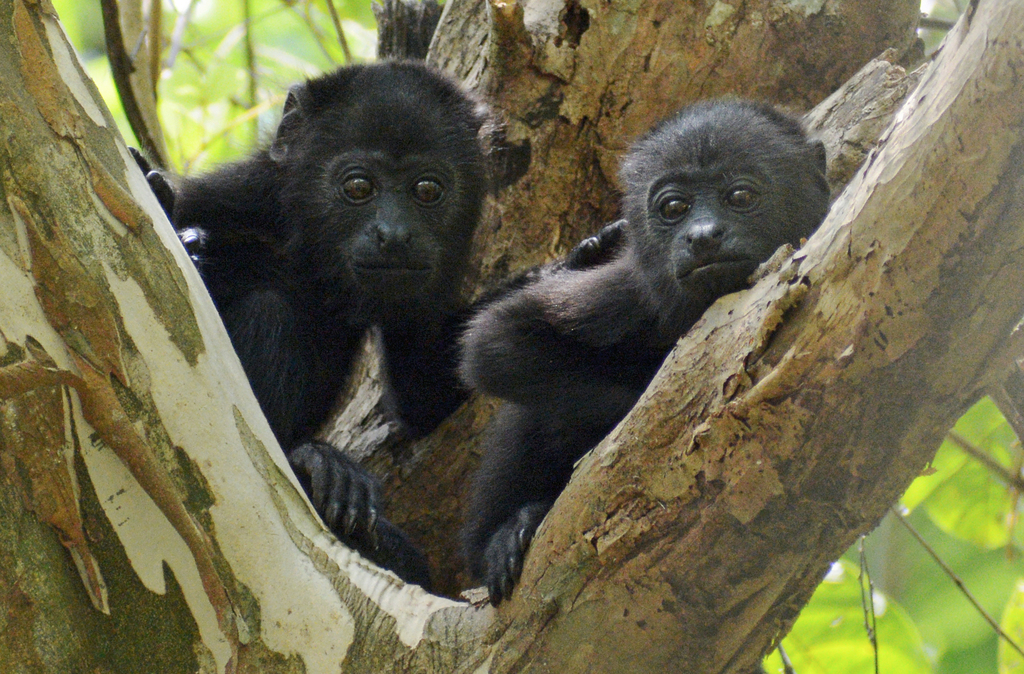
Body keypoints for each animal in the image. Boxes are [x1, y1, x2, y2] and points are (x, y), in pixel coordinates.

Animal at [136, 61, 491, 588]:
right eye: (359, 188)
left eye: (427, 190)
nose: (394, 235)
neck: (308, 255)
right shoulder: (235, 193)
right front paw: (176, 221)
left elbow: (422, 398)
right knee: (269, 310)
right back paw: (308, 462)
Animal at [459, 99, 830, 604]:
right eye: (674, 207)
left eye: (740, 196)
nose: (703, 235)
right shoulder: (631, 294)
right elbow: (495, 342)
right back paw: (503, 536)